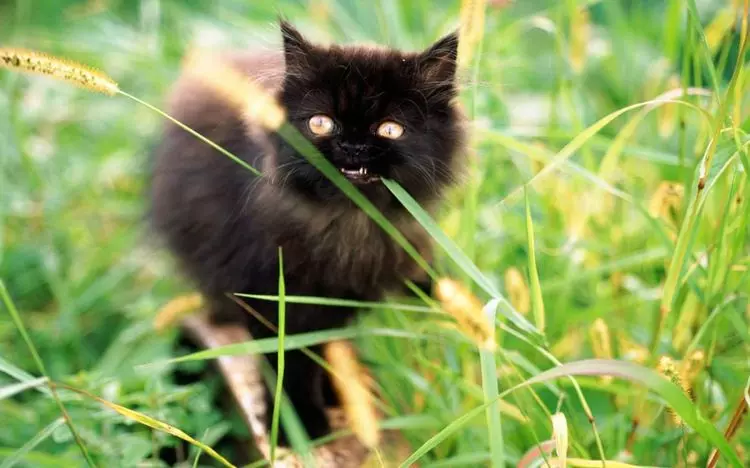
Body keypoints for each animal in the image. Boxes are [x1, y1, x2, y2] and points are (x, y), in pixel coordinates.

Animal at [150, 21, 468, 442]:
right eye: (321, 123)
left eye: (390, 129)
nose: (352, 146)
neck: (350, 222)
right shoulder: (274, 294)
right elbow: (290, 359)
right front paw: (295, 425)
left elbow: (315, 350)